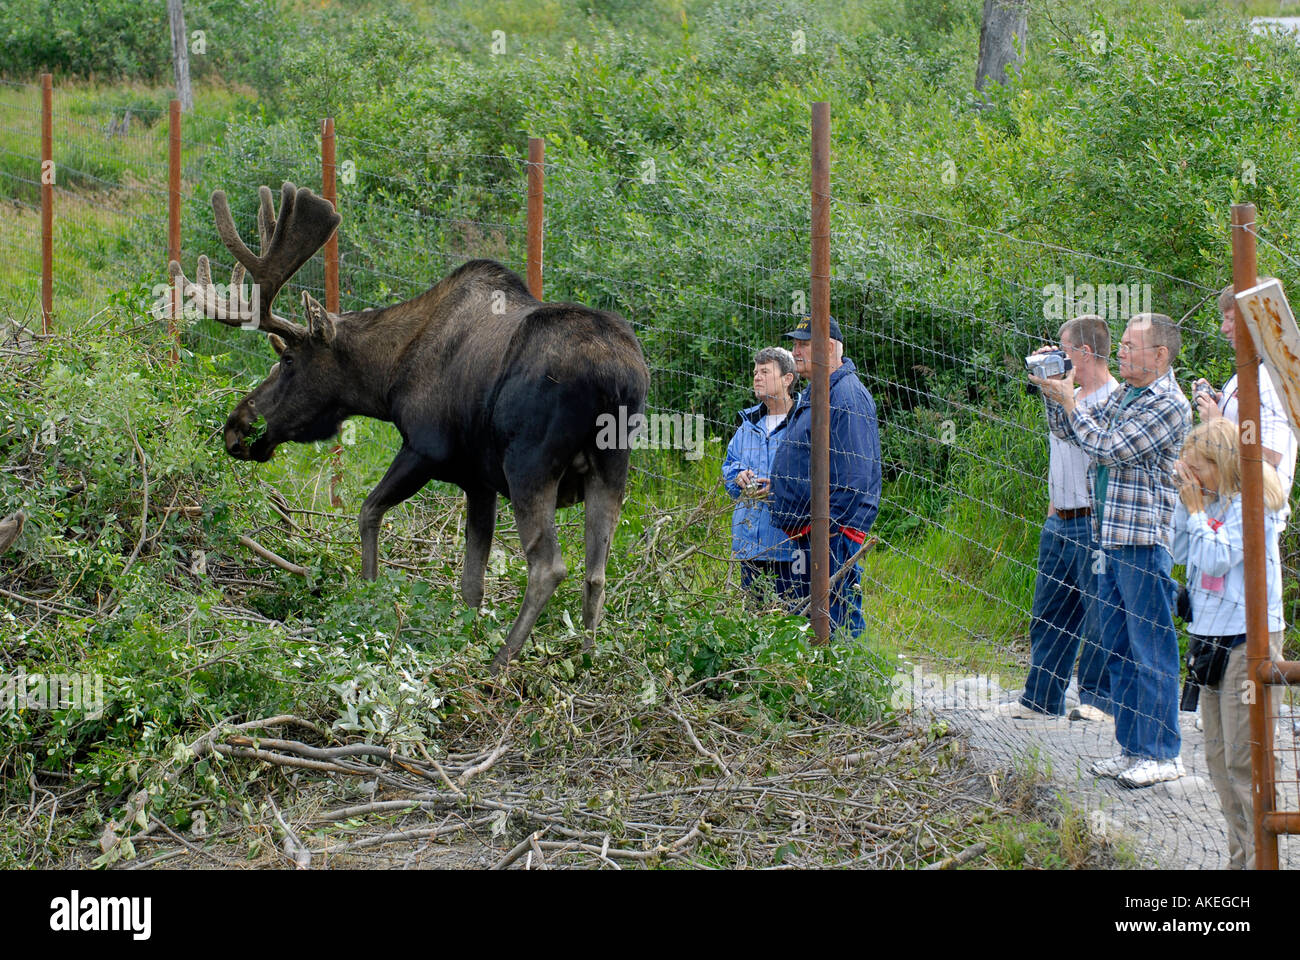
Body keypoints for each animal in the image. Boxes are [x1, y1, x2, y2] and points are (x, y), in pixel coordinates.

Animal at [169, 182, 649, 673]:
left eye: (287, 360)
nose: (236, 427)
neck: (388, 378)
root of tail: (617, 378)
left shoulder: (425, 449)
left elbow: (367, 511)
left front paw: (367, 596)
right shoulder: (479, 481)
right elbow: (472, 582)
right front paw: (463, 636)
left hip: (530, 466)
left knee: (549, 566)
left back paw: (501, 662)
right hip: (612, 466)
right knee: (596, 570)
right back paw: (588, 658)